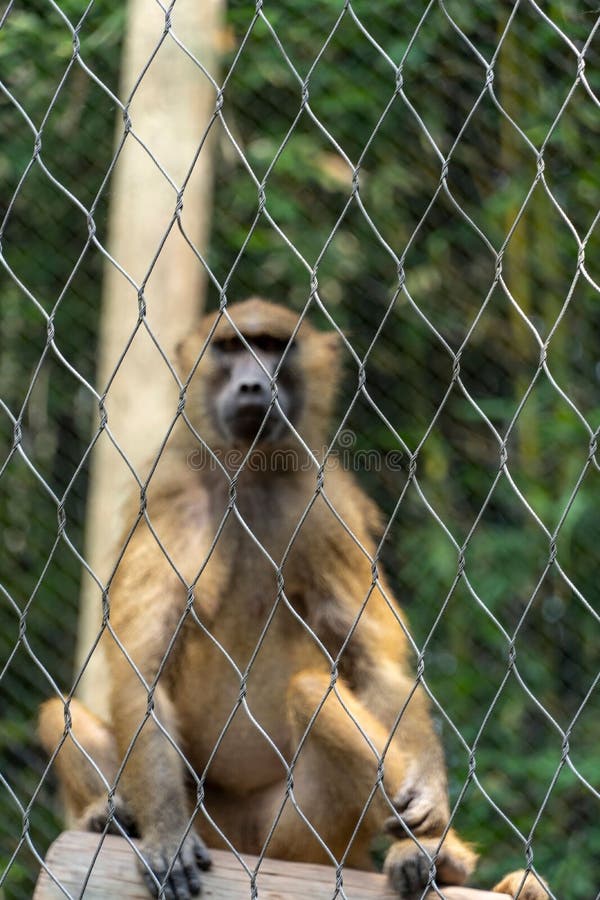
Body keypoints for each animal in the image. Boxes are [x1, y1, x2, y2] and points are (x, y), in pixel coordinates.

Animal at [39, 298, 550, 900]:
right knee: (58, 713)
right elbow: (140, 668)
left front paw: (430, 800)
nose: (252, 386)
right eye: (231, 347)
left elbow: (374, 663)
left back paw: (438, 857)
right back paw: (111, 817)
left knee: (311, 690)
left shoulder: (326, 508)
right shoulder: (168, 498)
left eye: (273, 347)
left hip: (300, 833)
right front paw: (165, 834)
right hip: (218, 819)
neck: (250, 473)